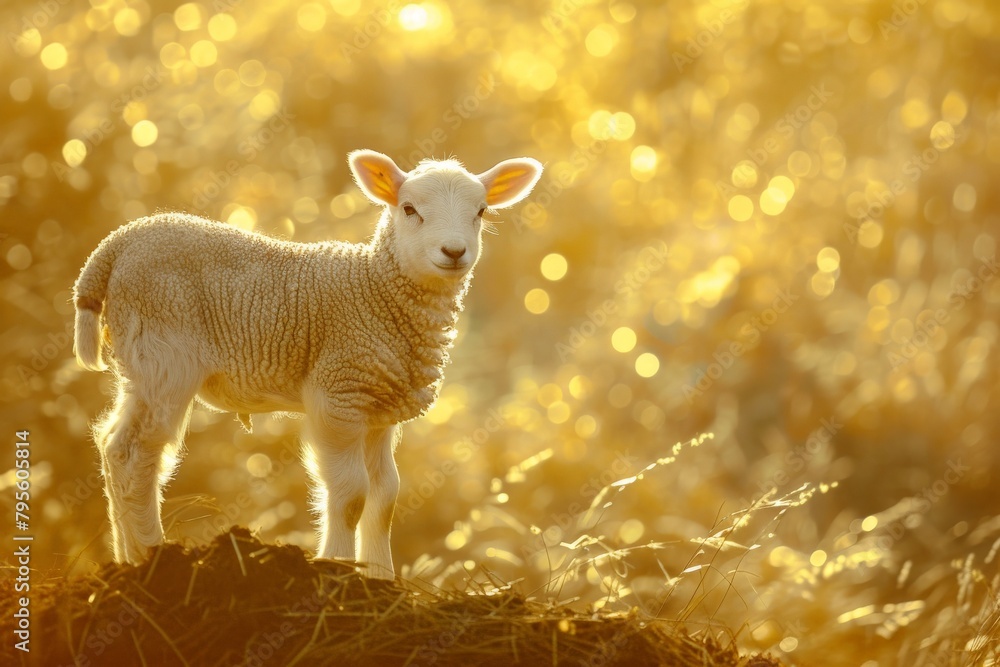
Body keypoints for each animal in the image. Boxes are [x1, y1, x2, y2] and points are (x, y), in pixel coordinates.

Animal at [73, 149, 542, 579]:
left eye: (481, 211)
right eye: (409, 209)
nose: (454, 251)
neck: (376, 289)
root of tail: (112, 248)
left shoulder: (378, 407)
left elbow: (385, 497)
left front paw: (381, 577)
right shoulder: (338, 393)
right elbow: (351, 495)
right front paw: (339, 568)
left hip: (140, 363)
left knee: (112, 446)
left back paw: (126, 560)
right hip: (164, 353)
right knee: (137, 456)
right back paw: (152, 557)